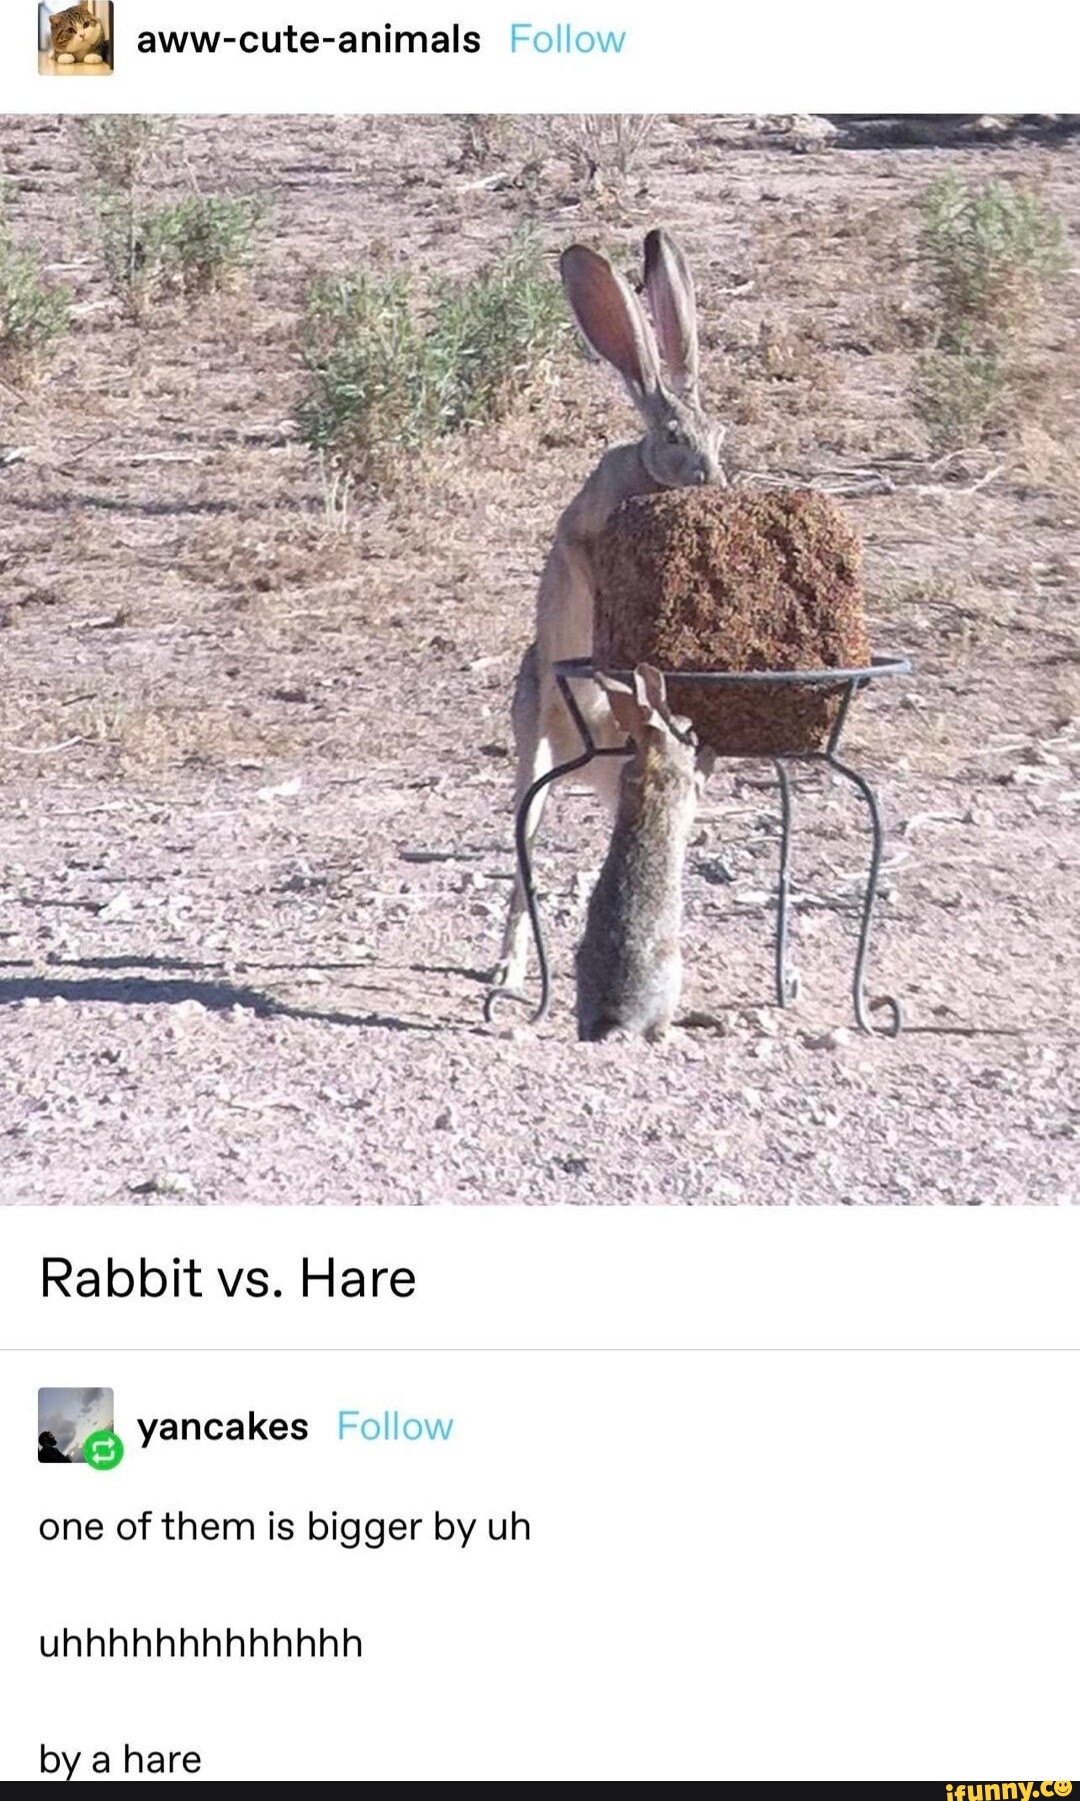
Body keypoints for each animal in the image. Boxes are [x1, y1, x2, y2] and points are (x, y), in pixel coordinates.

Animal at [493, 228, 728, 996]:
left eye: (720, 434)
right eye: (676, 438)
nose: (714, 481)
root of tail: (585, 763)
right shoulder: (581, 537)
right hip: (535, 751)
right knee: (525, 851)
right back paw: (508, 970)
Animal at [575, 666, 709, 1043]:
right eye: (687, 730)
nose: (698, 736)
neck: (653, 756)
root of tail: (615, 1016)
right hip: (673, 972)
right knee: (657, 1029)